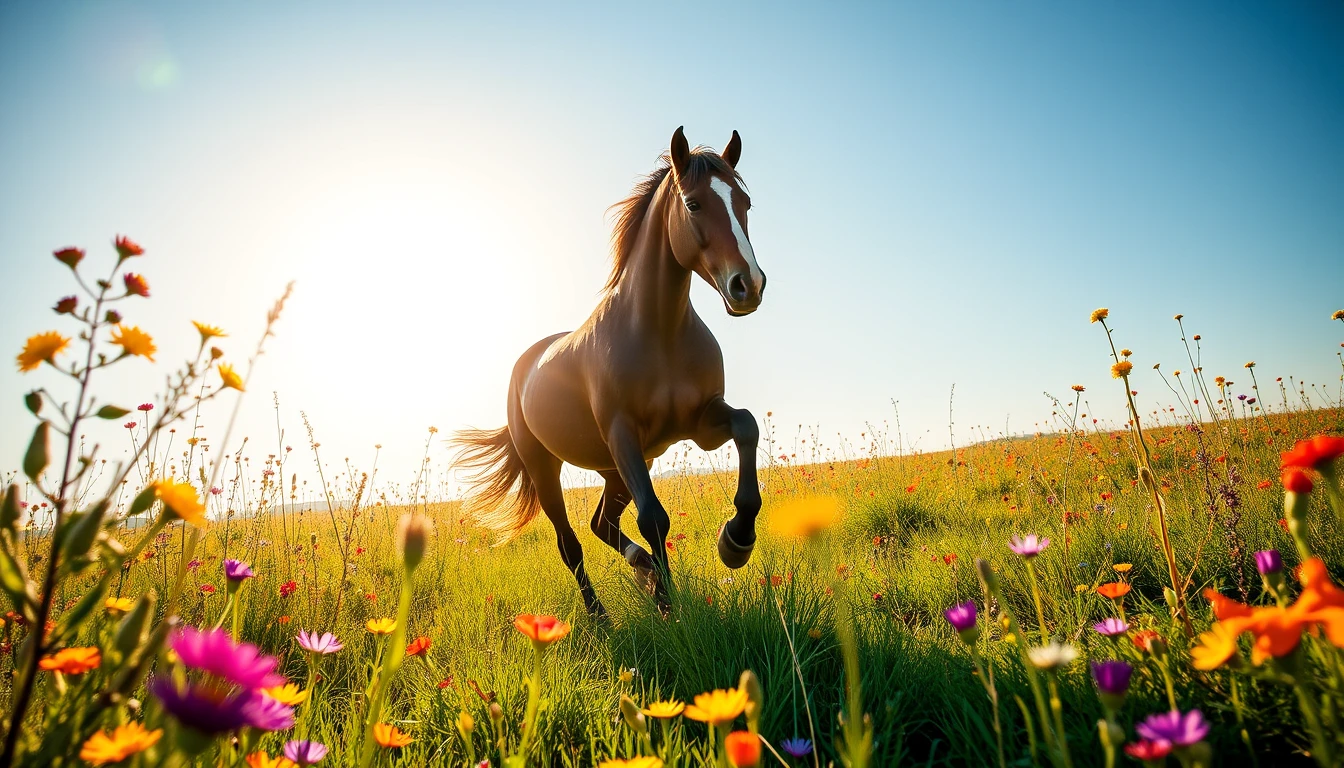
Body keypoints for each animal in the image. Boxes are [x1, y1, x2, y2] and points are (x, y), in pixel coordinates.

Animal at [451, 127, 767, 617]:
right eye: (694, 203)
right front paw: (670, 608)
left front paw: (735, 541)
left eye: (745, 203)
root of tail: (524, 367)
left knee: (602, 521)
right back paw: (602, 615)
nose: (747, 286)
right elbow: (654, 518)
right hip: (549, 468)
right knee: (571, 543)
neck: (659, 333)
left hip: (614, 468)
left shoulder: (701, 424)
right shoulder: (623, 435)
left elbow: (747, 425)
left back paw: (643, 570)